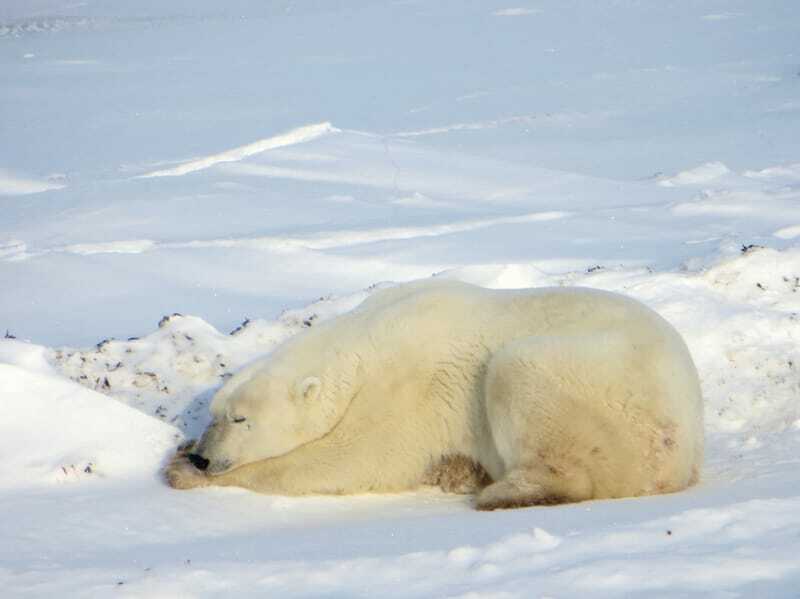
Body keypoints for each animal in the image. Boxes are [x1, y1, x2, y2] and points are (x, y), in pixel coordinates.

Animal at [166, 282, 704, 510]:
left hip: (605, 395)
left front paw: (179, 470)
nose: (204, 457)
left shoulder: (412, 385)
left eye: (241, 420)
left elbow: (354, 458)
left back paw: (499, 490)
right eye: (213, 413)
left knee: (520, 375)